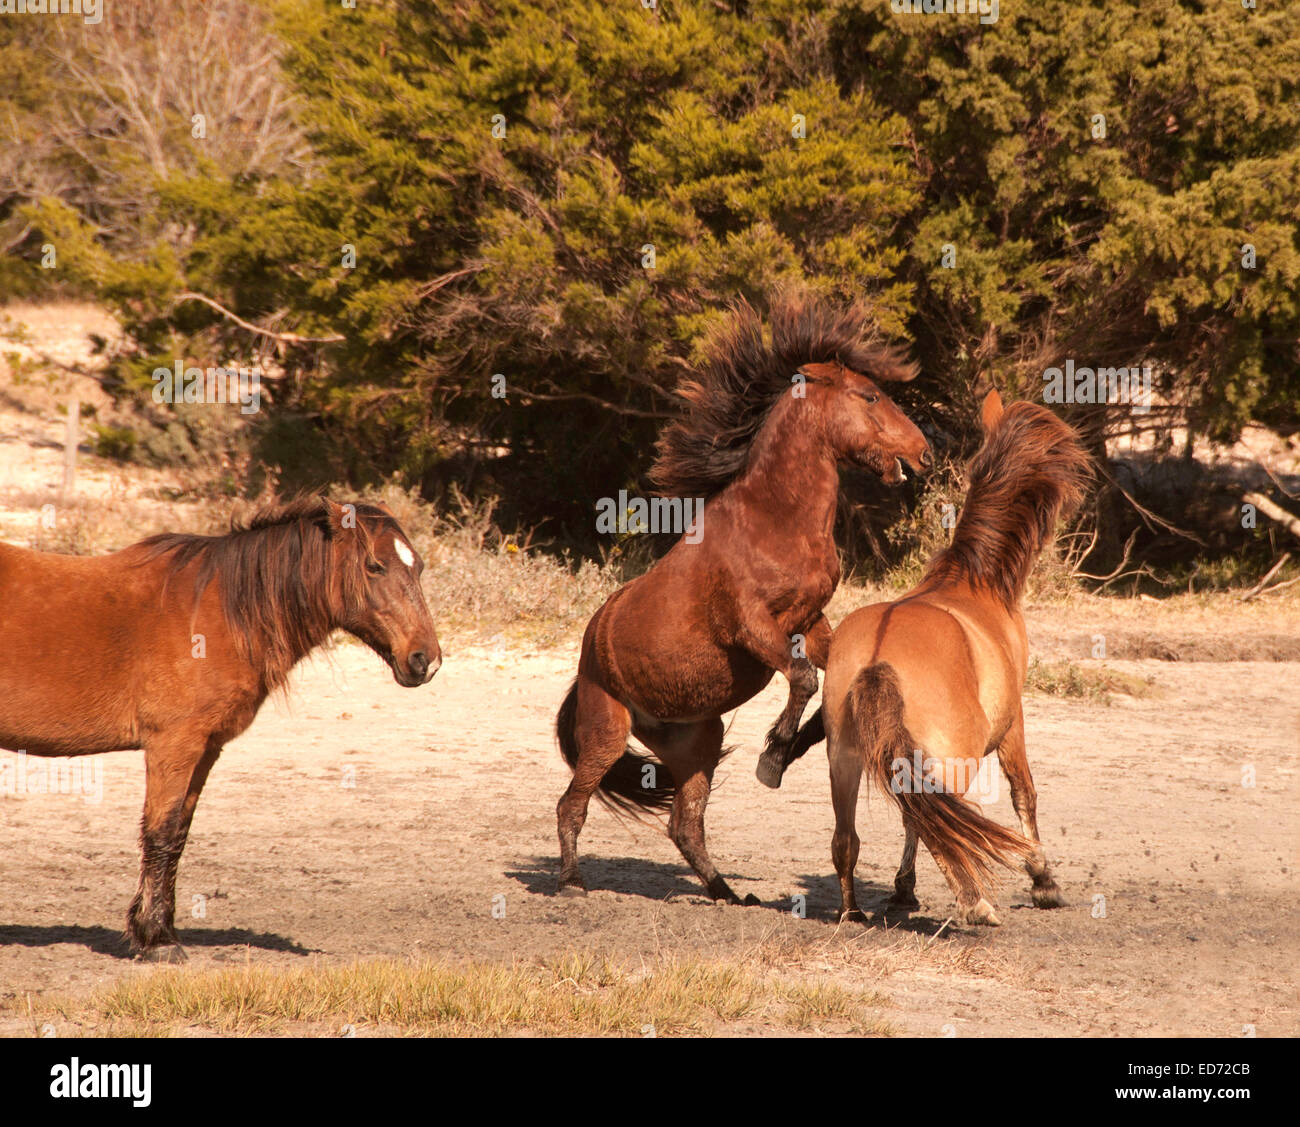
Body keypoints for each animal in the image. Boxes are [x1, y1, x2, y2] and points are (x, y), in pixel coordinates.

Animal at [0, 496, 440, 956]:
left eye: (419, 566)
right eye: (374, 565)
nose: (425, 660)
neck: (218, 613)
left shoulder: (206, 748)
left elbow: (179, 837)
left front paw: (158, 929)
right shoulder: (174, 745)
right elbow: (160, 833)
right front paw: (156, 940)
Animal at [555, 294, 933, 903]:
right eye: (870, 395)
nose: (924, 455)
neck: (777, 518)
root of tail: (589, 651)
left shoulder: (811, 623)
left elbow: (825, 678)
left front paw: (779, 754)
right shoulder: (753, 628)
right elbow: (803, 679)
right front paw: (774, 751)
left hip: (697, 742)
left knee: (684, 823)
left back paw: (727, 893)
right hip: (605, 731)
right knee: (572, 805)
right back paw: (571, 882)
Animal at [814, 390, 1092, 926]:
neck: (975, 584)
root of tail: (877, 659)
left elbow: (910, 823)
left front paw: (903, 888)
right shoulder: (1012, 723)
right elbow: (1024, 793)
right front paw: (1043, 879)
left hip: (845, 760)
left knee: (850, 838)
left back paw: (852, 912)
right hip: (952, 763)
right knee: (941, 828)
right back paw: (975, 903)